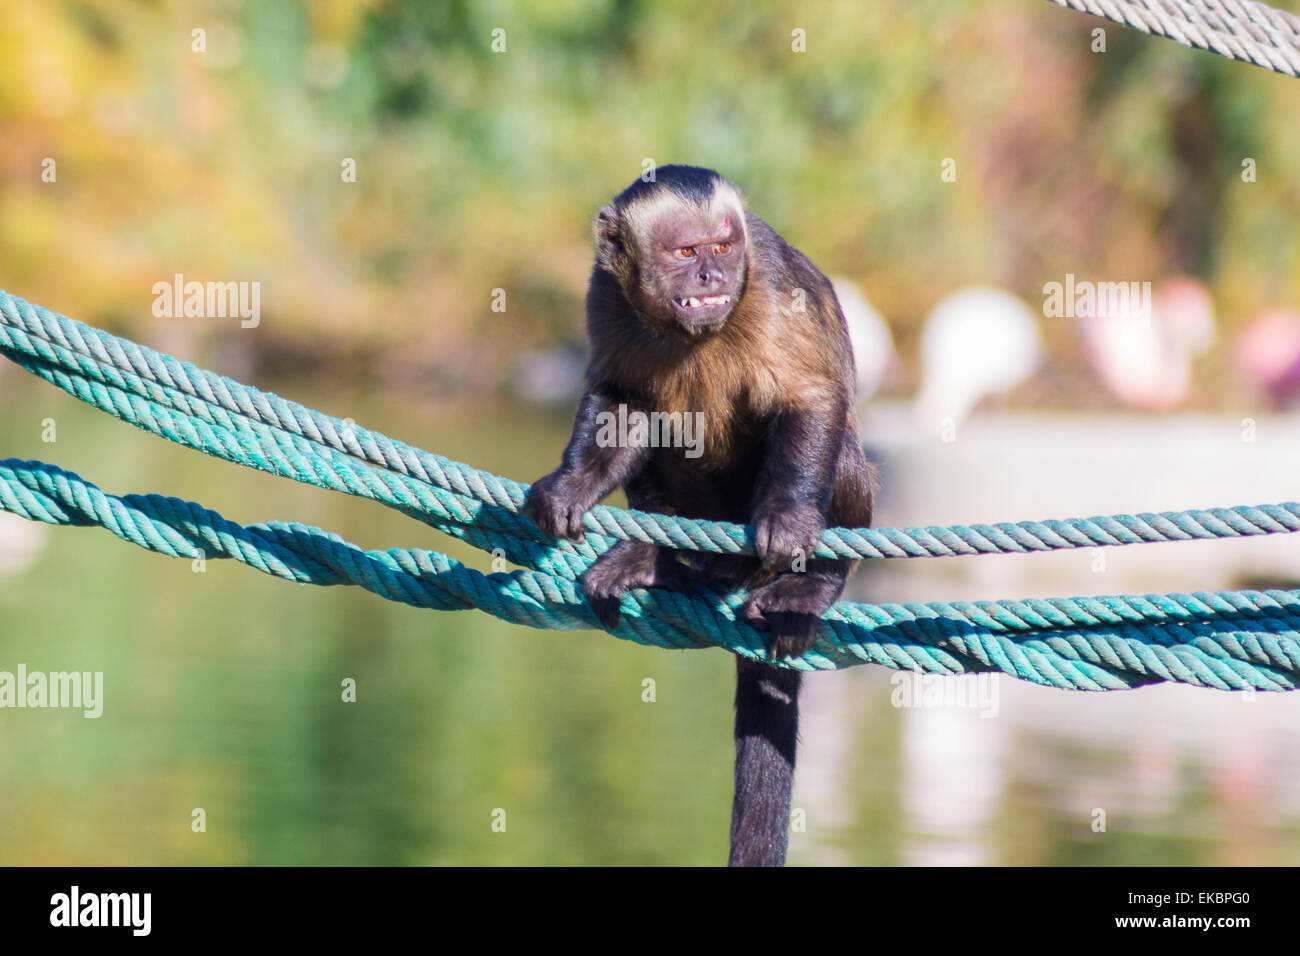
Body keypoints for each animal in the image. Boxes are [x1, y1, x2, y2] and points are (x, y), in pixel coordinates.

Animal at [524, 165, 875, 867]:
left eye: (723, 246)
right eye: (685, 252)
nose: (712, 276)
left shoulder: (770, 283)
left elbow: (809, 396)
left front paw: (790, 522)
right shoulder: (605, 292)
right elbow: (622, 402)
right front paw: (573, 484)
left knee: (839, 443)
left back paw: (812, 585)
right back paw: (660, 563)